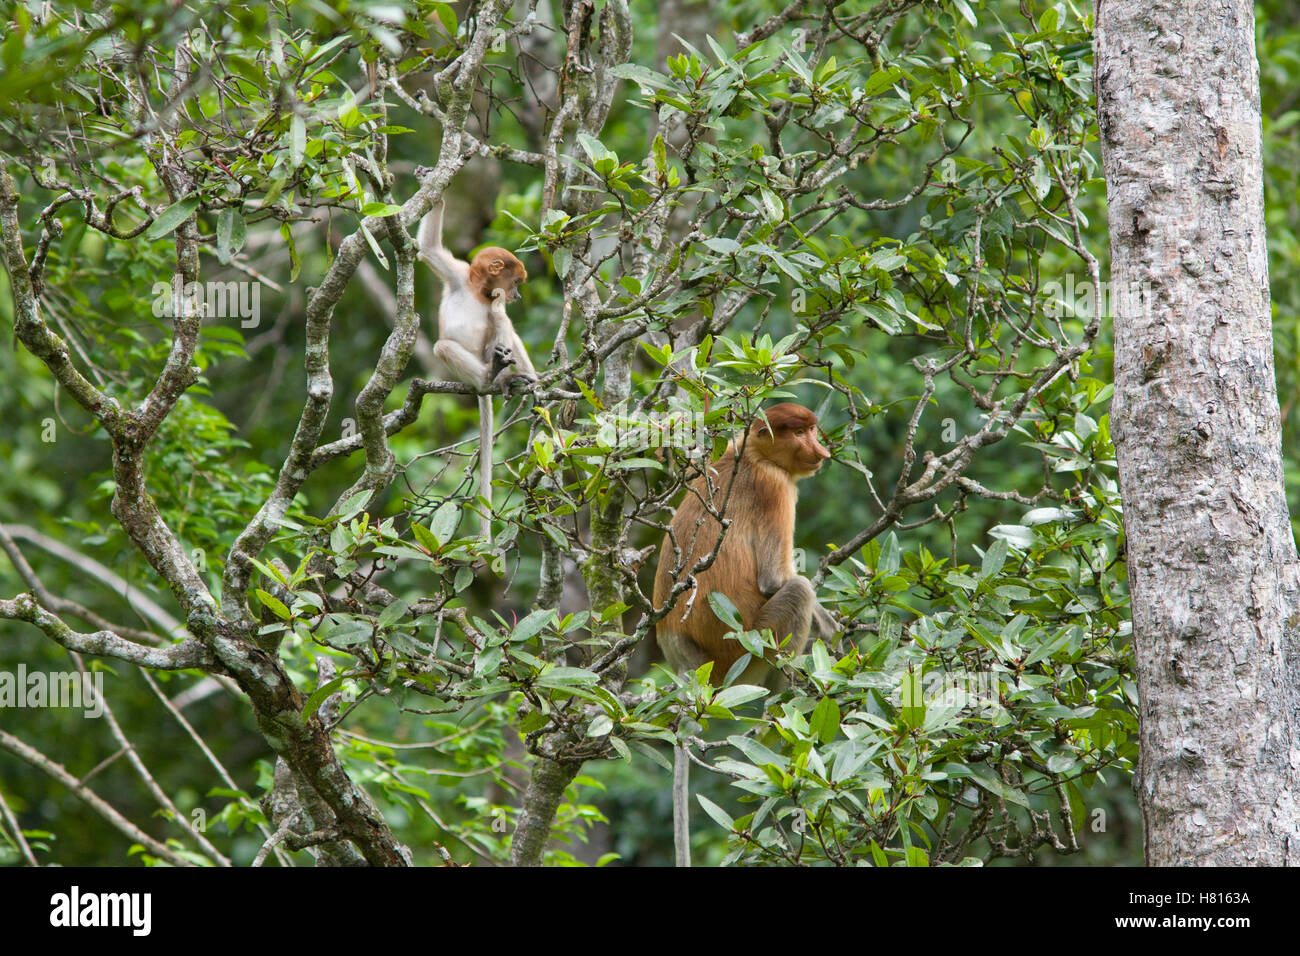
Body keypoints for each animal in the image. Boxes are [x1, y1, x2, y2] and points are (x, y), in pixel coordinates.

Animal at [417, 198, 538, 543]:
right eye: (516, 282)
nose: (516, 296)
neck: (478, 291)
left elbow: (503, 320)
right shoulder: (457, 274)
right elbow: (429, 250)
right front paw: (437, 194)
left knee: (499, 330)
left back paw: (503, 376)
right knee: (443, 347)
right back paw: (490, 377)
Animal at [652, 401, 837, 866]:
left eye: (814, 431)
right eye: (801, 433)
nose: (822, 452)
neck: (752, 455)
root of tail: (687, 658)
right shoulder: (776, 489)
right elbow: (775, 581)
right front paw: (829, 624)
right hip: (747, 654)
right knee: (797, 591)